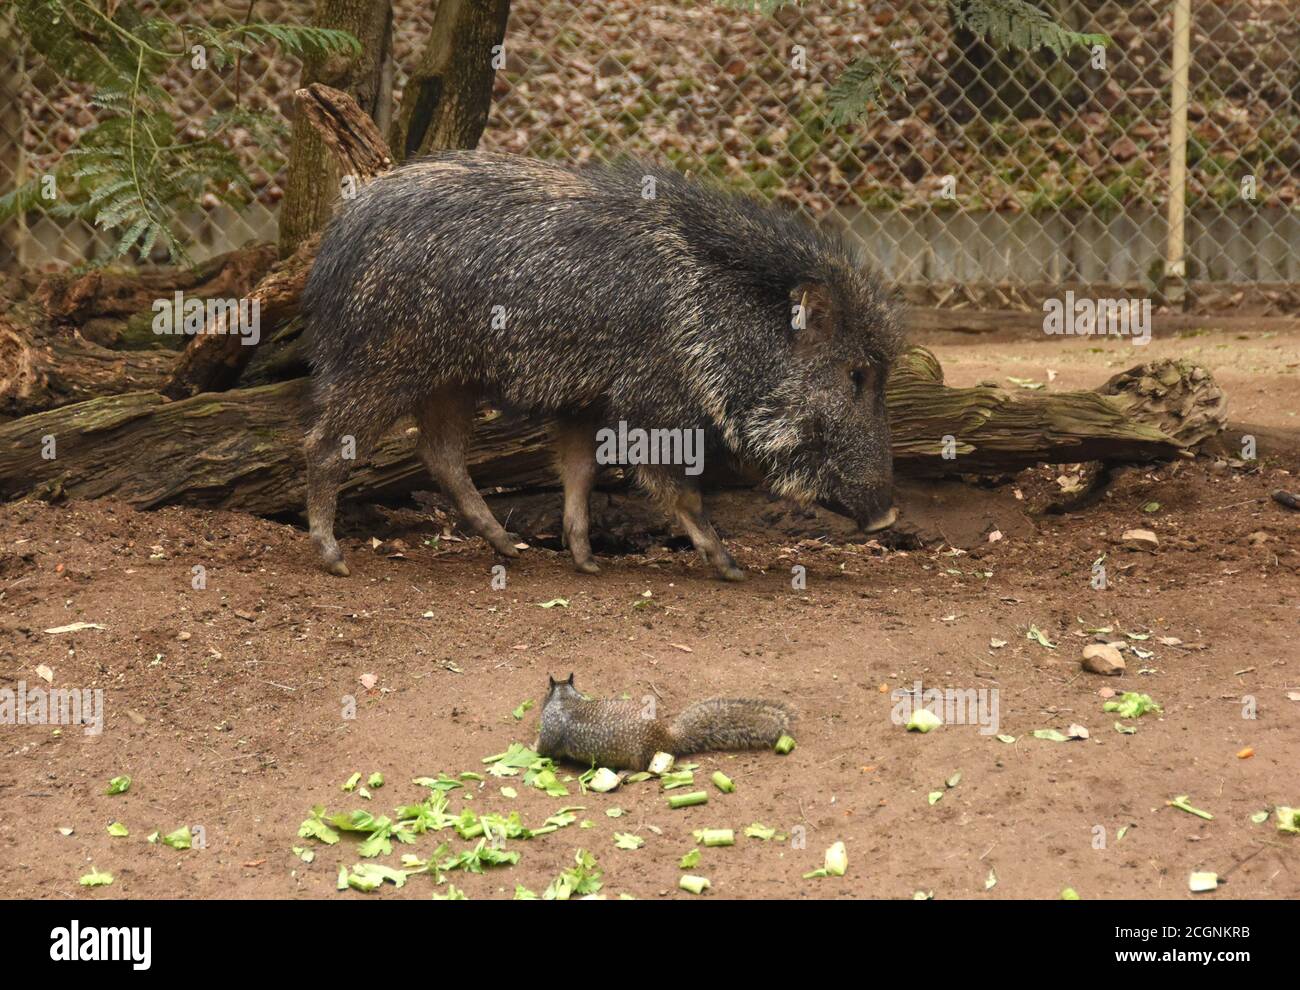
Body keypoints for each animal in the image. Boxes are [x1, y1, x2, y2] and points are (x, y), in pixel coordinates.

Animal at [536, 673, 794, 771]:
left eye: (545, 691)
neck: (566, 699)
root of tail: (669, 739)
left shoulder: (549, 732)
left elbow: (543, 748)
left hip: (638, 757)